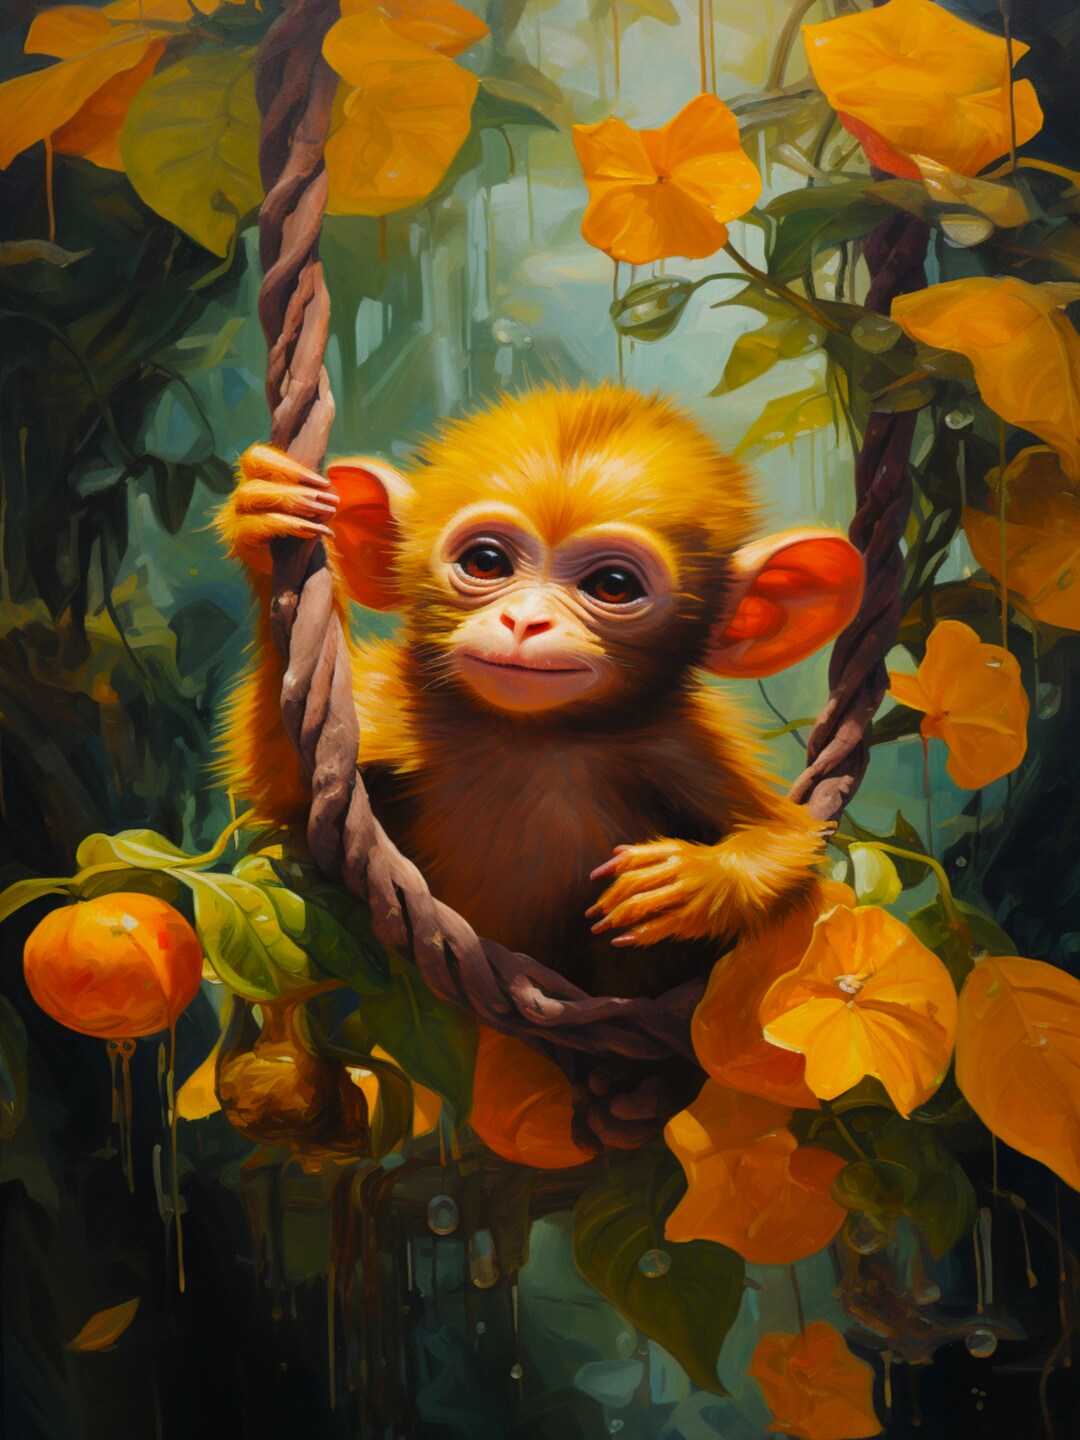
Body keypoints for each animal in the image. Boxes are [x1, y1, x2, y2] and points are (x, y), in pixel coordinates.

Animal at [216, 384, 863, 999]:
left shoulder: (682, 738)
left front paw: (691, 882)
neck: (531, 736)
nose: (525, 621)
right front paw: (262, 517)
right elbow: (294, 798)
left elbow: (787, 838)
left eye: (613, 584)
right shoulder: (389, 699)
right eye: (486, 562)